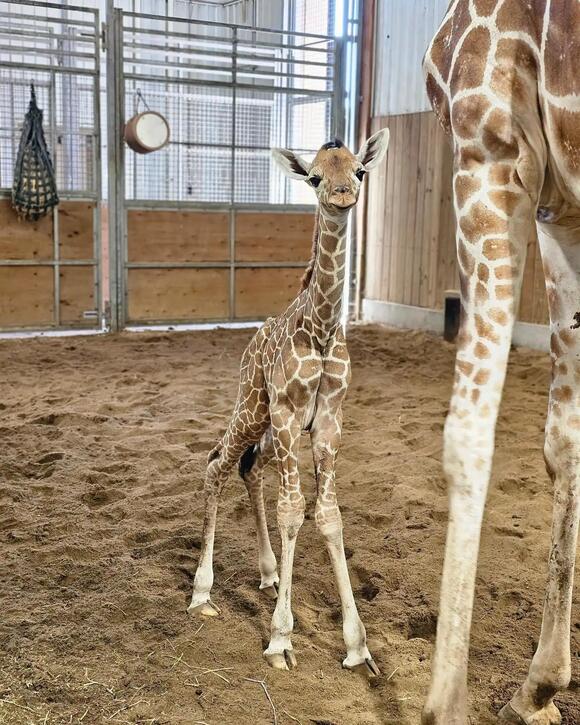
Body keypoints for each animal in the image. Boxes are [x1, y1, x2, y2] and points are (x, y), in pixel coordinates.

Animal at [188, 131, 390, 677]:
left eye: (359, 170)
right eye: (315, 177)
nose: (343, 195)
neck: (320, 330)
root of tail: (249, 343)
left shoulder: (328, 423)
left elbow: (328, 515)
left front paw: (358, 647)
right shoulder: (285, 415)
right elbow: (292, 511)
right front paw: (280, 638)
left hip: (268, 427)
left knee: (248, 468)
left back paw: (268, 572)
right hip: (253, 408)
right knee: (217, 463)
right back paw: (202, 592)